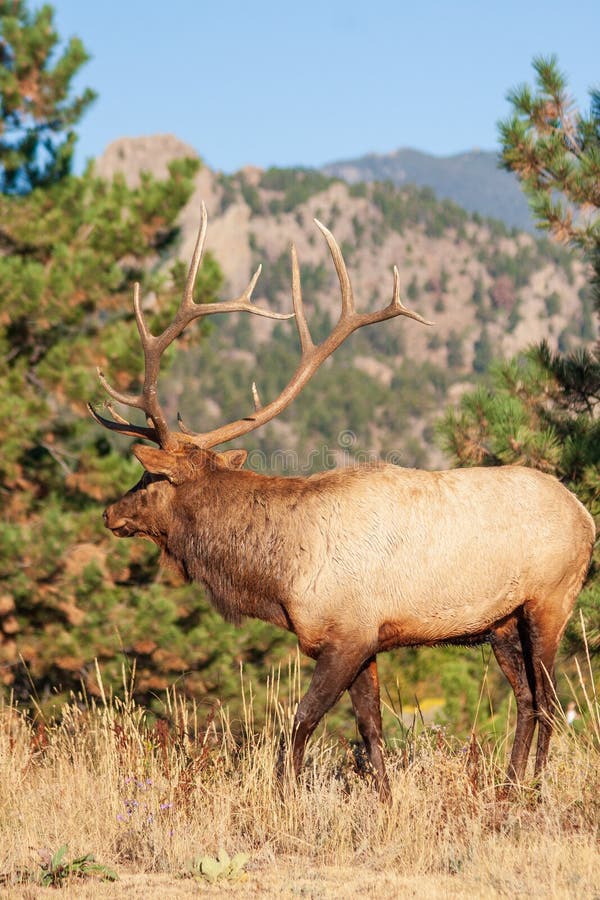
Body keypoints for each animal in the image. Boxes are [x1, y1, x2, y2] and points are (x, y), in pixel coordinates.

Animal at [89, 203, 595, 800]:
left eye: (148, 479)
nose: (110, 512)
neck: (279, 576)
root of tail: (586, 515)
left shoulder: (348, 635)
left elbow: (301, 721)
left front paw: (283, 797)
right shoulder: (367, 641)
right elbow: (371, 729)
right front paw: (385, 799)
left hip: (551, 600)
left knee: (550, 703)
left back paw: (530, 792)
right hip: (501, 624)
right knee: (525, 700)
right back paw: (507, 786)